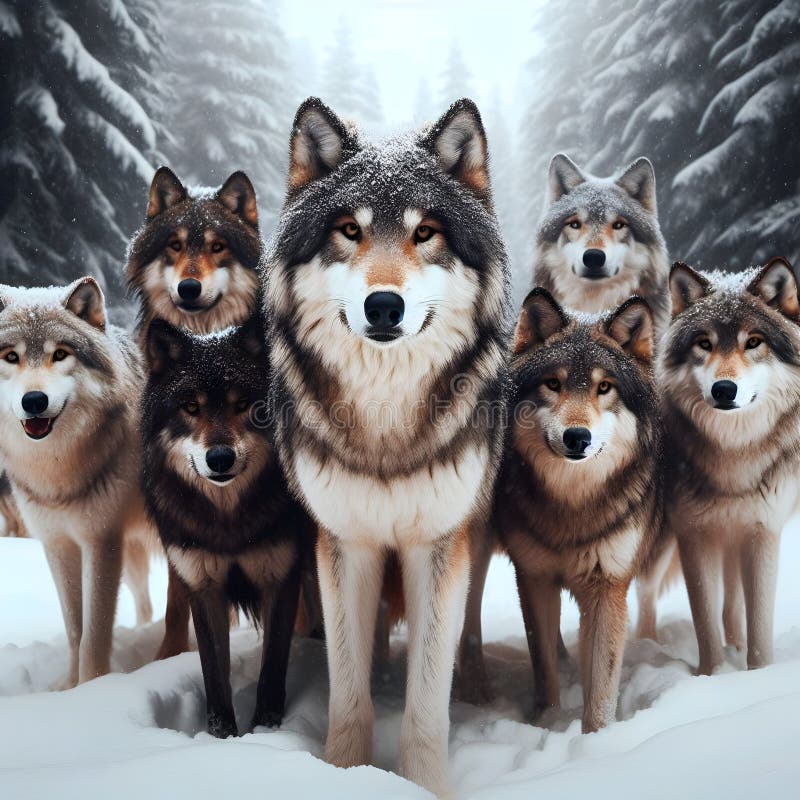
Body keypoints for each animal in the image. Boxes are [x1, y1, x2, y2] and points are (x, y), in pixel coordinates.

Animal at [0, 278, 153, 687]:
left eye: (60, 354)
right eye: (10, 357)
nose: (34, 401)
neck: (57, 475)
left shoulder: (101, 541)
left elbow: (94, 634)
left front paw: (92, 686)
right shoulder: (58, 544)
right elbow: (74, 629)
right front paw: (69, 687)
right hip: (135, 555)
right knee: (146, 603)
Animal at [141, 314, 314, 737]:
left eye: (243, 405)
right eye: (190, 406)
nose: (219, 458)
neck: (228, 523)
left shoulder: (280, 581)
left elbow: (271, 672)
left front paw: (266, 731)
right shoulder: (203, 587)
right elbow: (215, 678)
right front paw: (223, 737)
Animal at [264, 97, 510, 795]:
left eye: (425, 233)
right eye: (349, 230)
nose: (383, 305)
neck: (385, 420)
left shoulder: (439, 547)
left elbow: (427, 700)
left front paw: (425, 785)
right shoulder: (346, 543)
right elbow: (348, 693)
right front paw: (346, 773)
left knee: (468, 631)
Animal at [498, 288, 664, 732]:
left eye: (604, 387)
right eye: (553, 384)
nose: (577, 437)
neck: (572, 505)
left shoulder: (608, 587)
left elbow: (602, 688)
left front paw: (595, 739)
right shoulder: (533, 578)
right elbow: (543, 665)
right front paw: (548, 721)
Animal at [660, 258, 800, 675]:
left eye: (753, 342)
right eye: (704, 343)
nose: (724, 389)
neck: (733, 457)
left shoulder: (762, 532)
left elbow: (759, 628)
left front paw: (754, 674)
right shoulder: (694, 536)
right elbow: (706, 624)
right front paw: (714, 675)